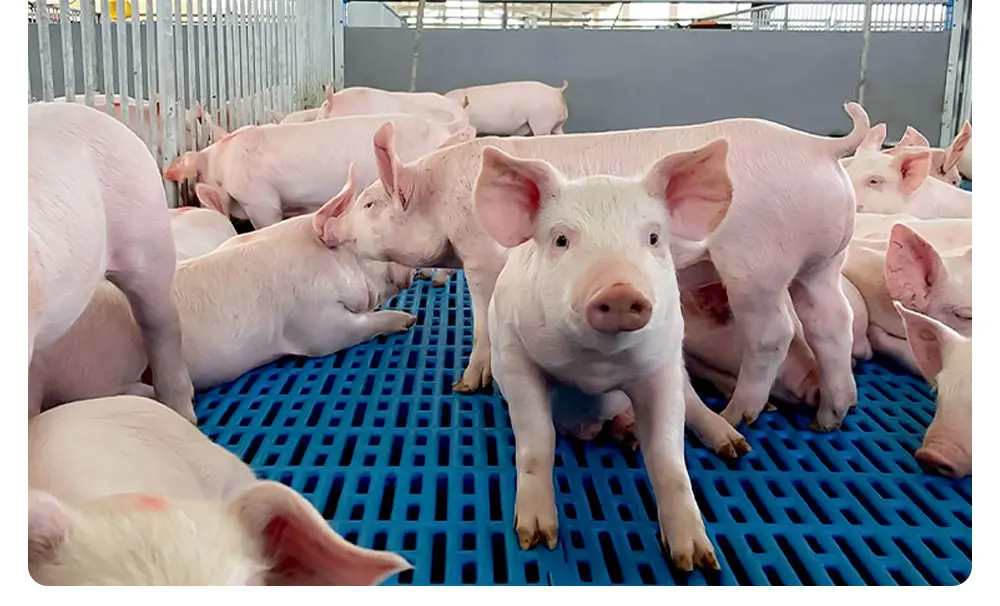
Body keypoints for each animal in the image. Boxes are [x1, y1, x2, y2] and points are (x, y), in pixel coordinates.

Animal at [28, 169, 416, 411]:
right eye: (369, 253)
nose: (410, 270)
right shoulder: (315, 324)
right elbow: (353, 329)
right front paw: (407, 319)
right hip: (99, 368)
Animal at [325, 102, 871, 432]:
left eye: (371, 203)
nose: (327, 230)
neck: (443, 196)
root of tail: (820, 146)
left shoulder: (483, 256)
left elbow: (482, 320)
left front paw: (468, 385)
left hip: (755, 261)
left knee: (774, 333)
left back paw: (738, 415)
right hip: (822, 260)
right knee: (831, 323)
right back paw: (831, 416)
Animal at [476, 140, 736, 570]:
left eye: (653, 237)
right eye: (561, 240)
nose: (619, 290)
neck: (595, 369)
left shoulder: (663, 365)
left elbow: (668, 455)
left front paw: (697, 561)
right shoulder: (513, 357)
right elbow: (538, 440)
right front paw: (536, 539)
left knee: (696, 406)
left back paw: (733, 445)